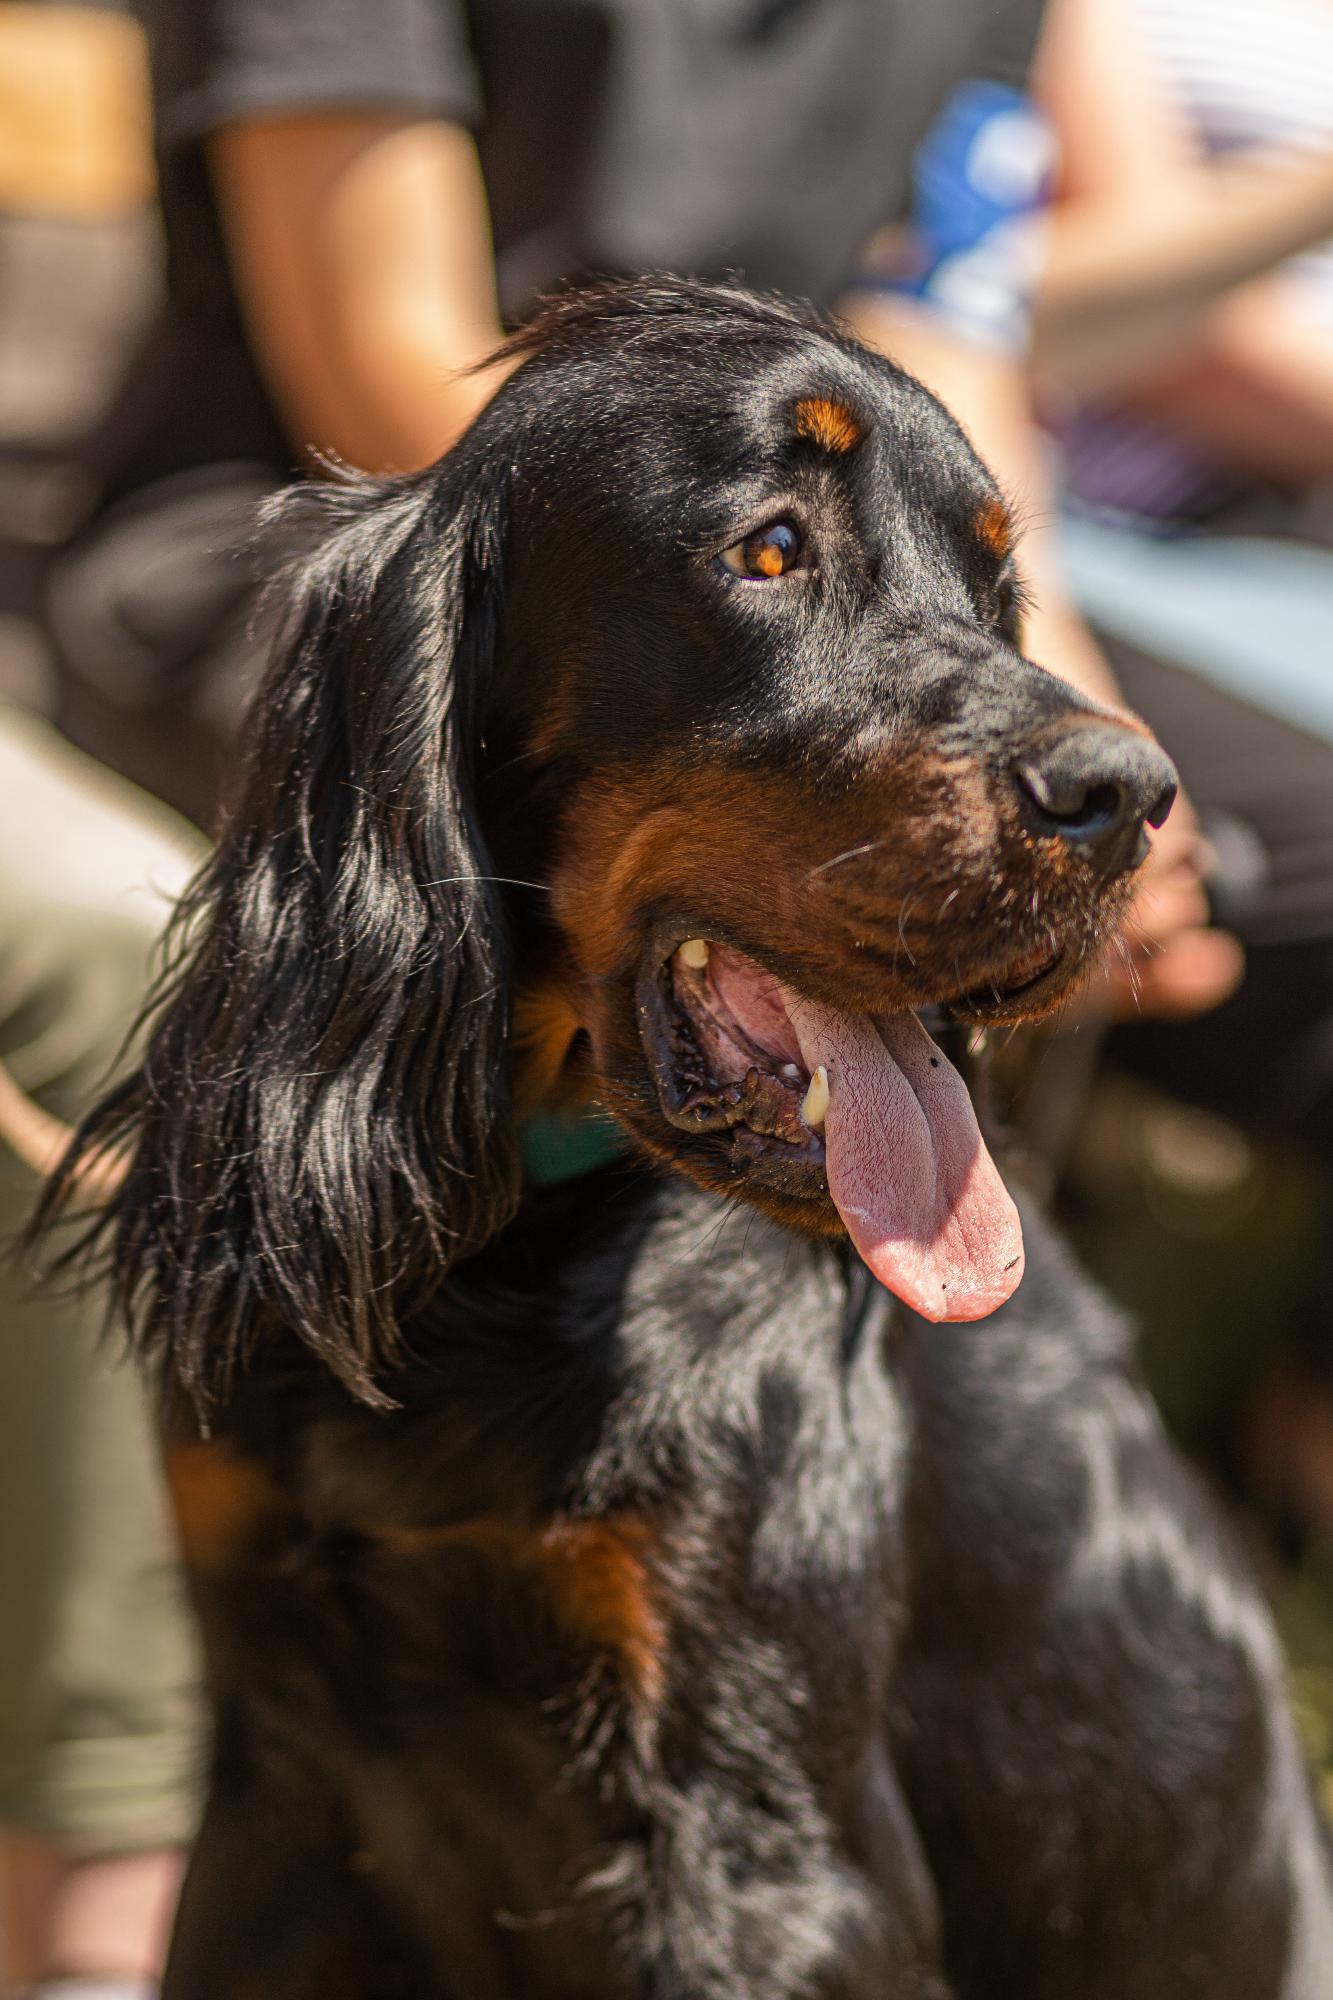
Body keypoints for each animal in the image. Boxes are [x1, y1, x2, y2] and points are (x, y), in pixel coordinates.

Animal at [44, 274, 1328, 1992]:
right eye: (770, 550)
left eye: (999, 592)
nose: (1130, 798)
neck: (509, 1246)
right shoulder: (278, 1782)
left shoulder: (761, 1859)